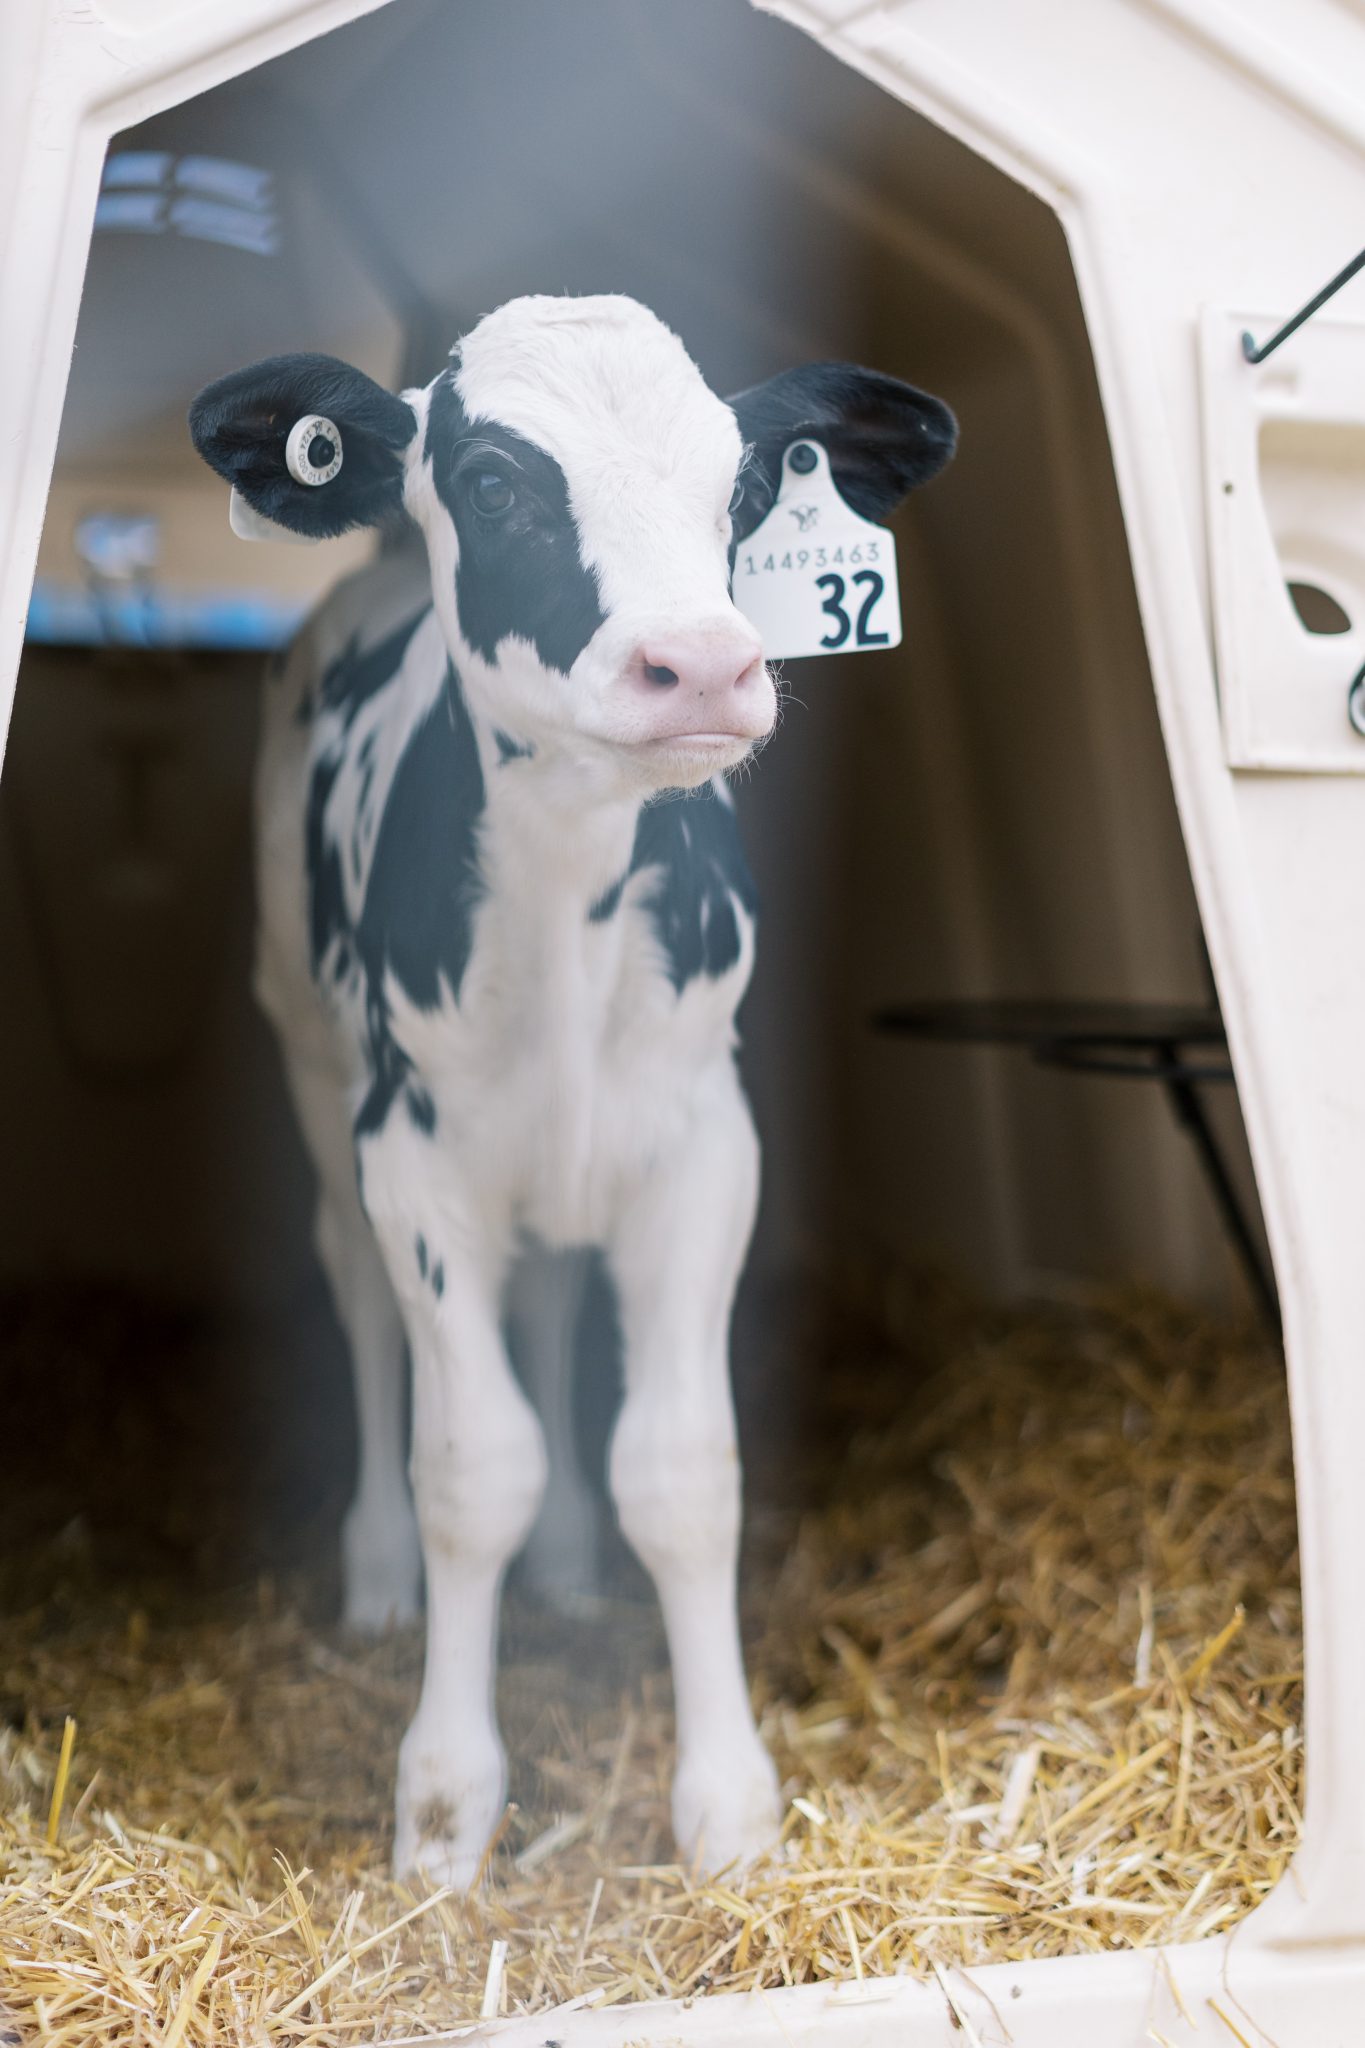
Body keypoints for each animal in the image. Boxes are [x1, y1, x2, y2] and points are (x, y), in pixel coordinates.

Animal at [189, 294, 956, 1887]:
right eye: (491, 485)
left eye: (743, 487)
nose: (706, 665)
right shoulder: (412, 1159)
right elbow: (473, 1463)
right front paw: (443, 1804)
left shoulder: (705, 1145)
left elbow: (680, 1466)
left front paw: (729, 1805)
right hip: (309, 1056)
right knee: (358, 1298)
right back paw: (376, 1571)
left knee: (545, 1298)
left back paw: (563, 1567)